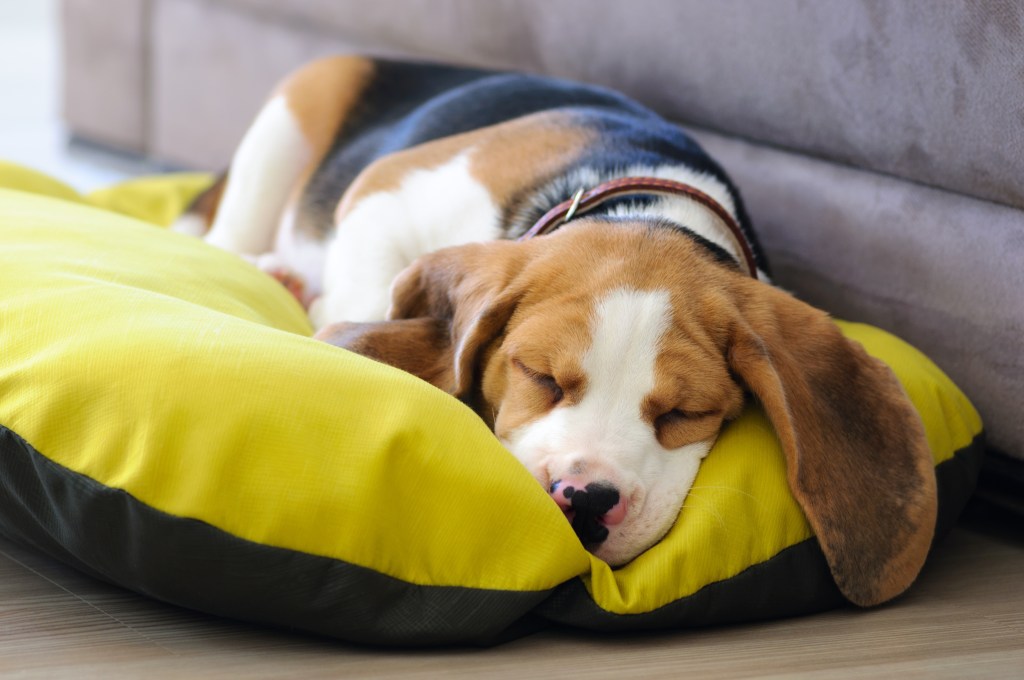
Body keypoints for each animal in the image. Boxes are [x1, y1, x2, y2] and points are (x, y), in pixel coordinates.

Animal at [176, 54, 937, 606]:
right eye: (539, 376)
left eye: (686, 413)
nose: (585, 499)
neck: (641, 203)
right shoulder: (385, 192)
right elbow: (366, 295)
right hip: (298, 105)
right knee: (222, 240)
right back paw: (277, 274)